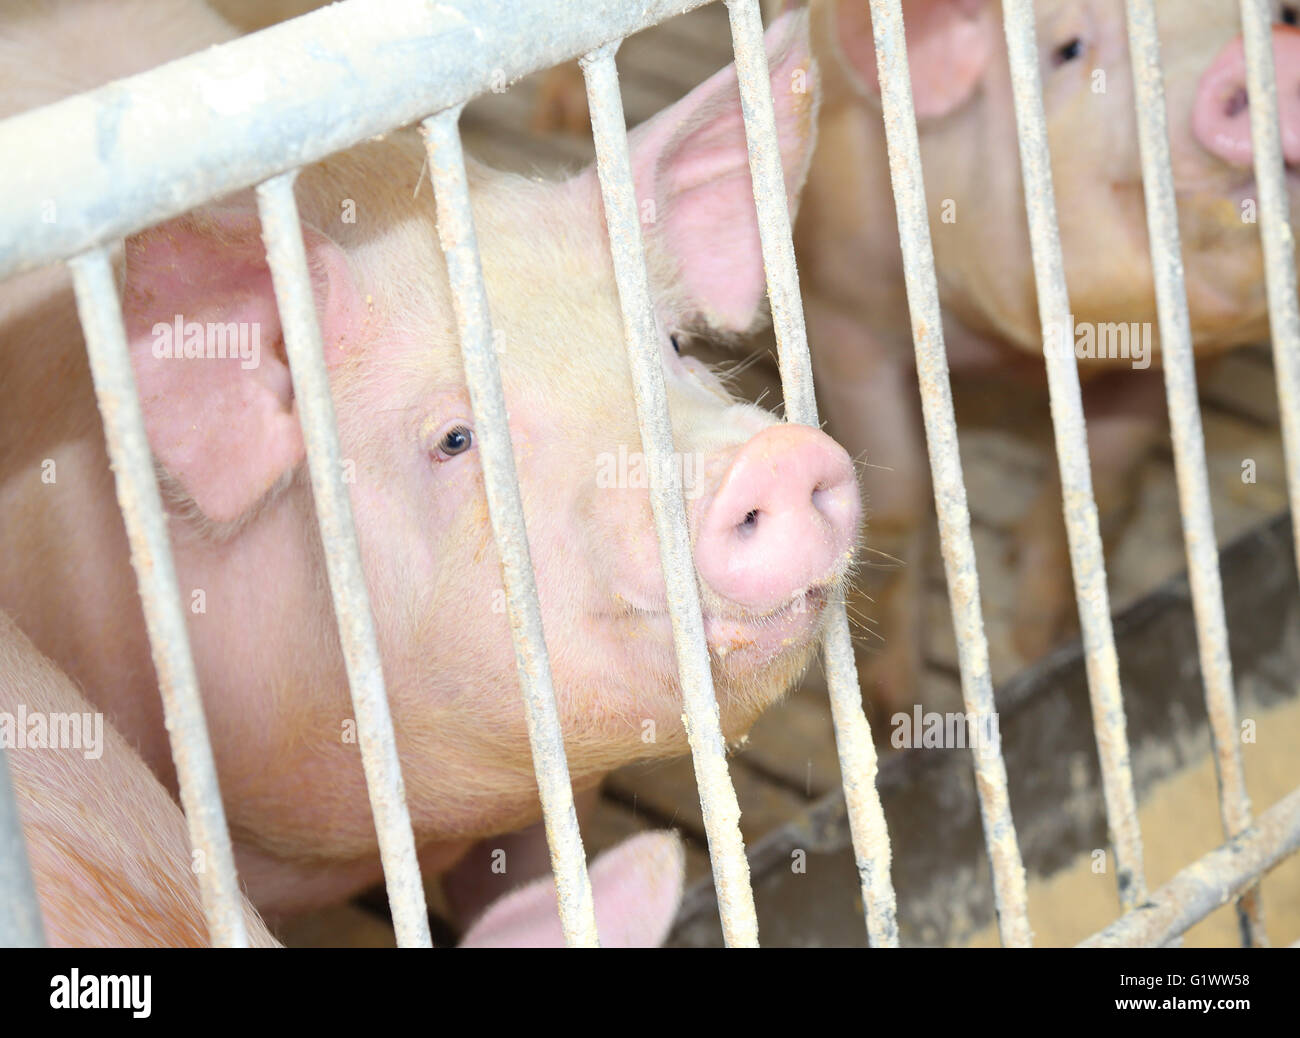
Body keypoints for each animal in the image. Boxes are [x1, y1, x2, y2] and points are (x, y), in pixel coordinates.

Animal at [792, 0, 1300, 709]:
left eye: (1281, 15)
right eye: (1068, 50)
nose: (1275, 53)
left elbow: (1095, 486)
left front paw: (1036, 642)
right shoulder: (842, 315)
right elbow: (899, 501)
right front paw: (898, 698)